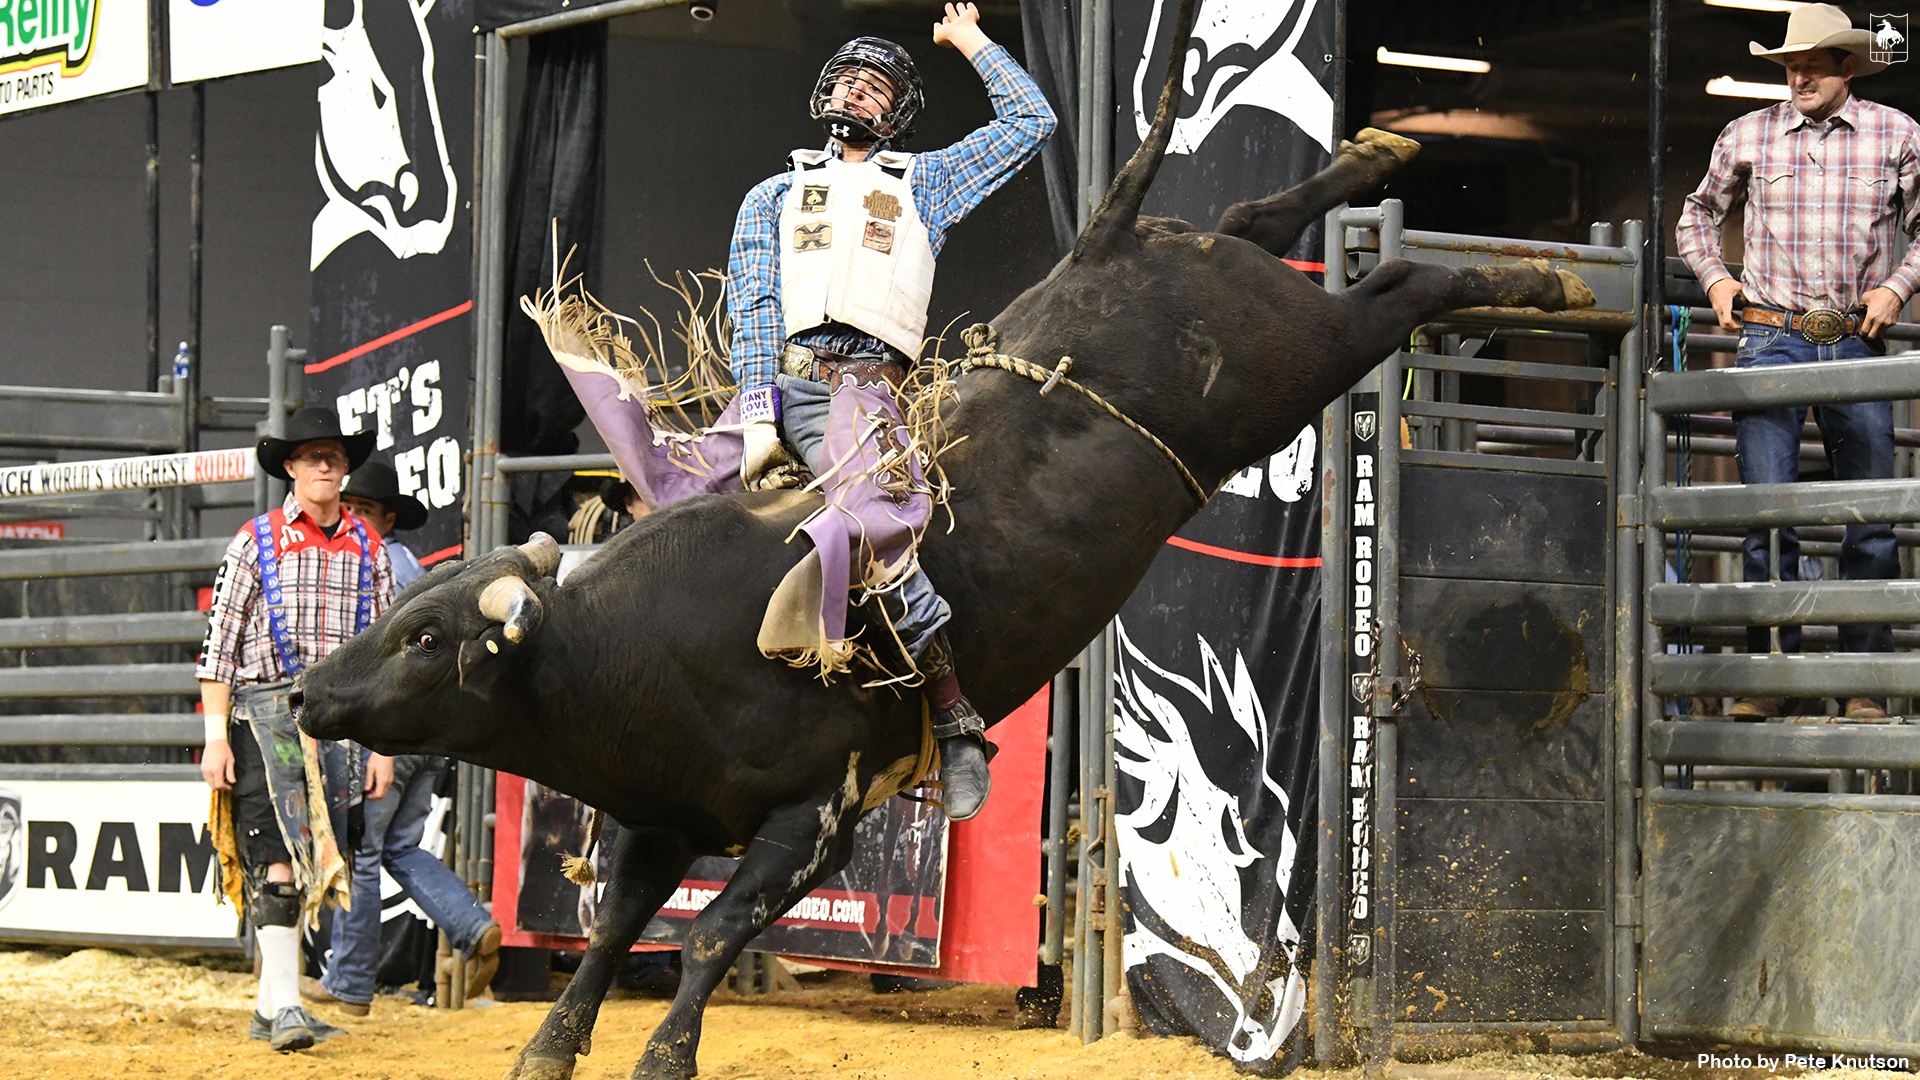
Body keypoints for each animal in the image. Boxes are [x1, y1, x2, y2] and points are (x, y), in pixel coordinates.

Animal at [297, 0, 1592, 1075]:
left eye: (423, 637)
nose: (307, 692)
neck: (629, 644)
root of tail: (1101, 246)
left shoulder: (815, 819)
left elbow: (709, 934)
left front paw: (664, 1057)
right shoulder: (662, 813)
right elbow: (619, 927)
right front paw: (549, 1050)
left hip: (1292, 363)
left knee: (1397, 292)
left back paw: (1532, 284)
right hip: (1243, 296)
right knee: (1249, 215)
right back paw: (1382, 161)